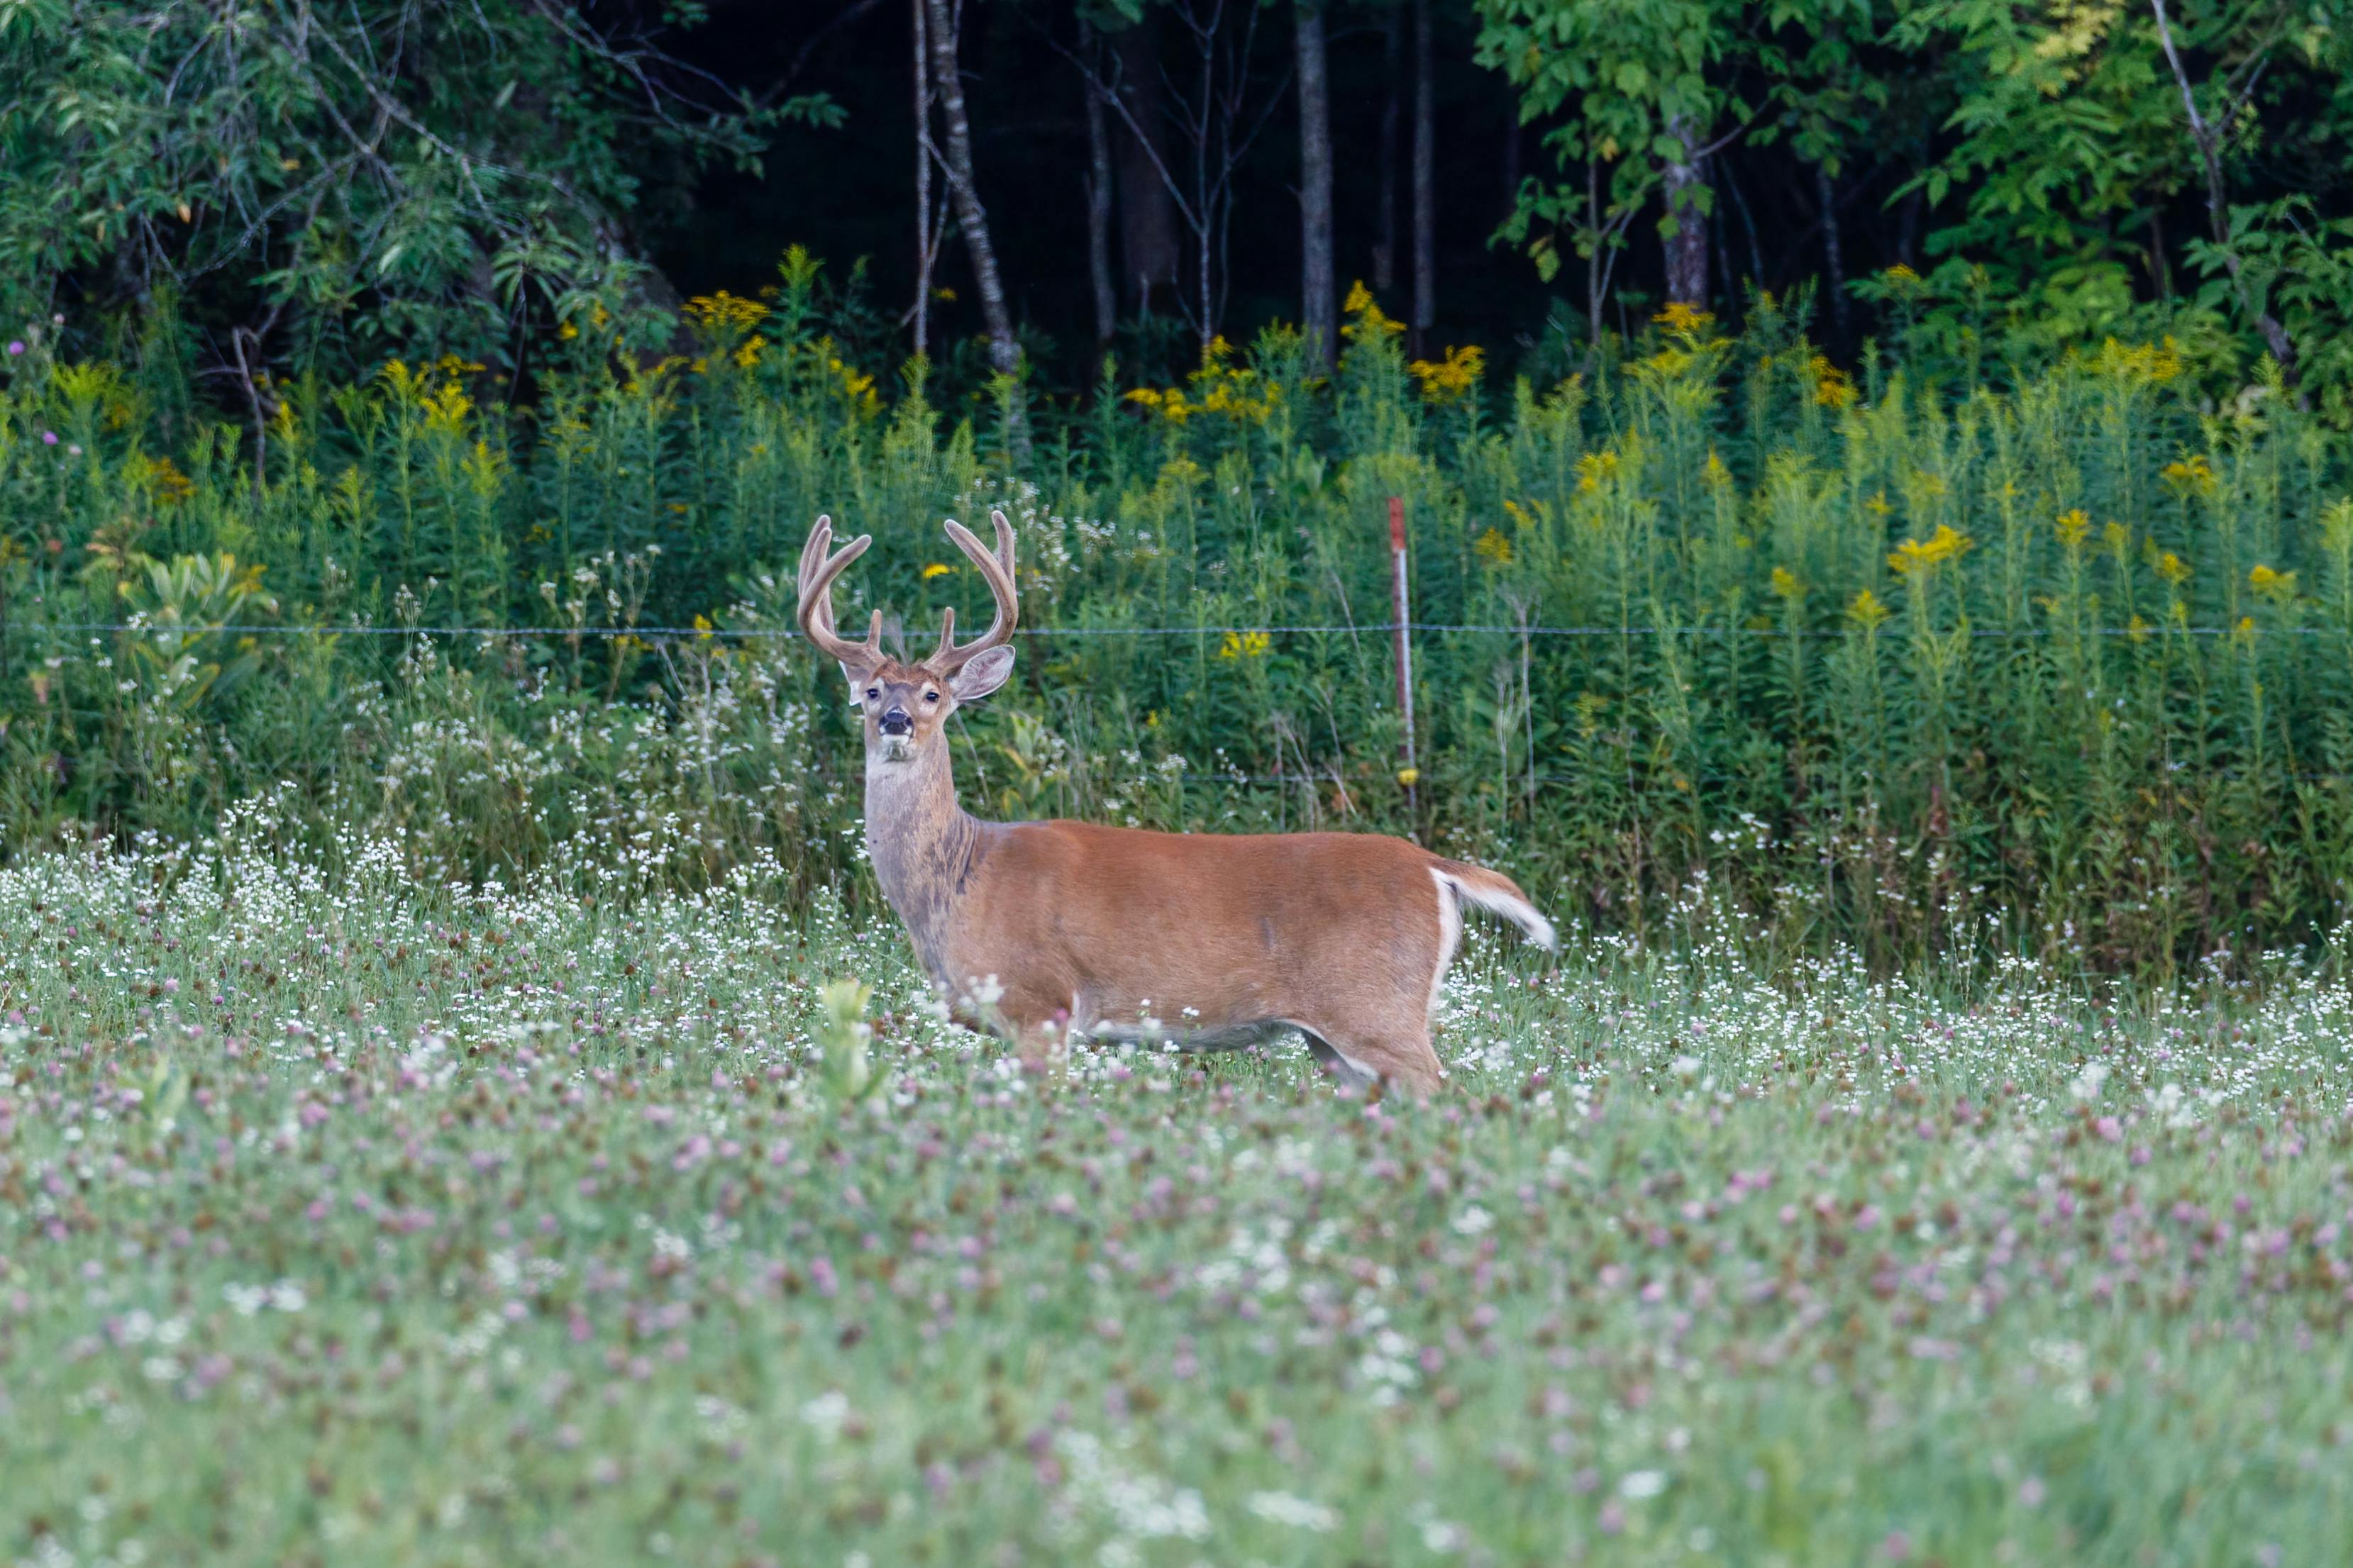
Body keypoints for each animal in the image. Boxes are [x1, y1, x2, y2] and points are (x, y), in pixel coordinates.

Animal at [796, 509, 1556, 1095]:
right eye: (870, 691)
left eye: (933, 694)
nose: (897, 721)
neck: (960, 875)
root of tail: (1433, 867)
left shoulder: (1041, 1001)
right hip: (1335, 1038)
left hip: (1377, 1005)